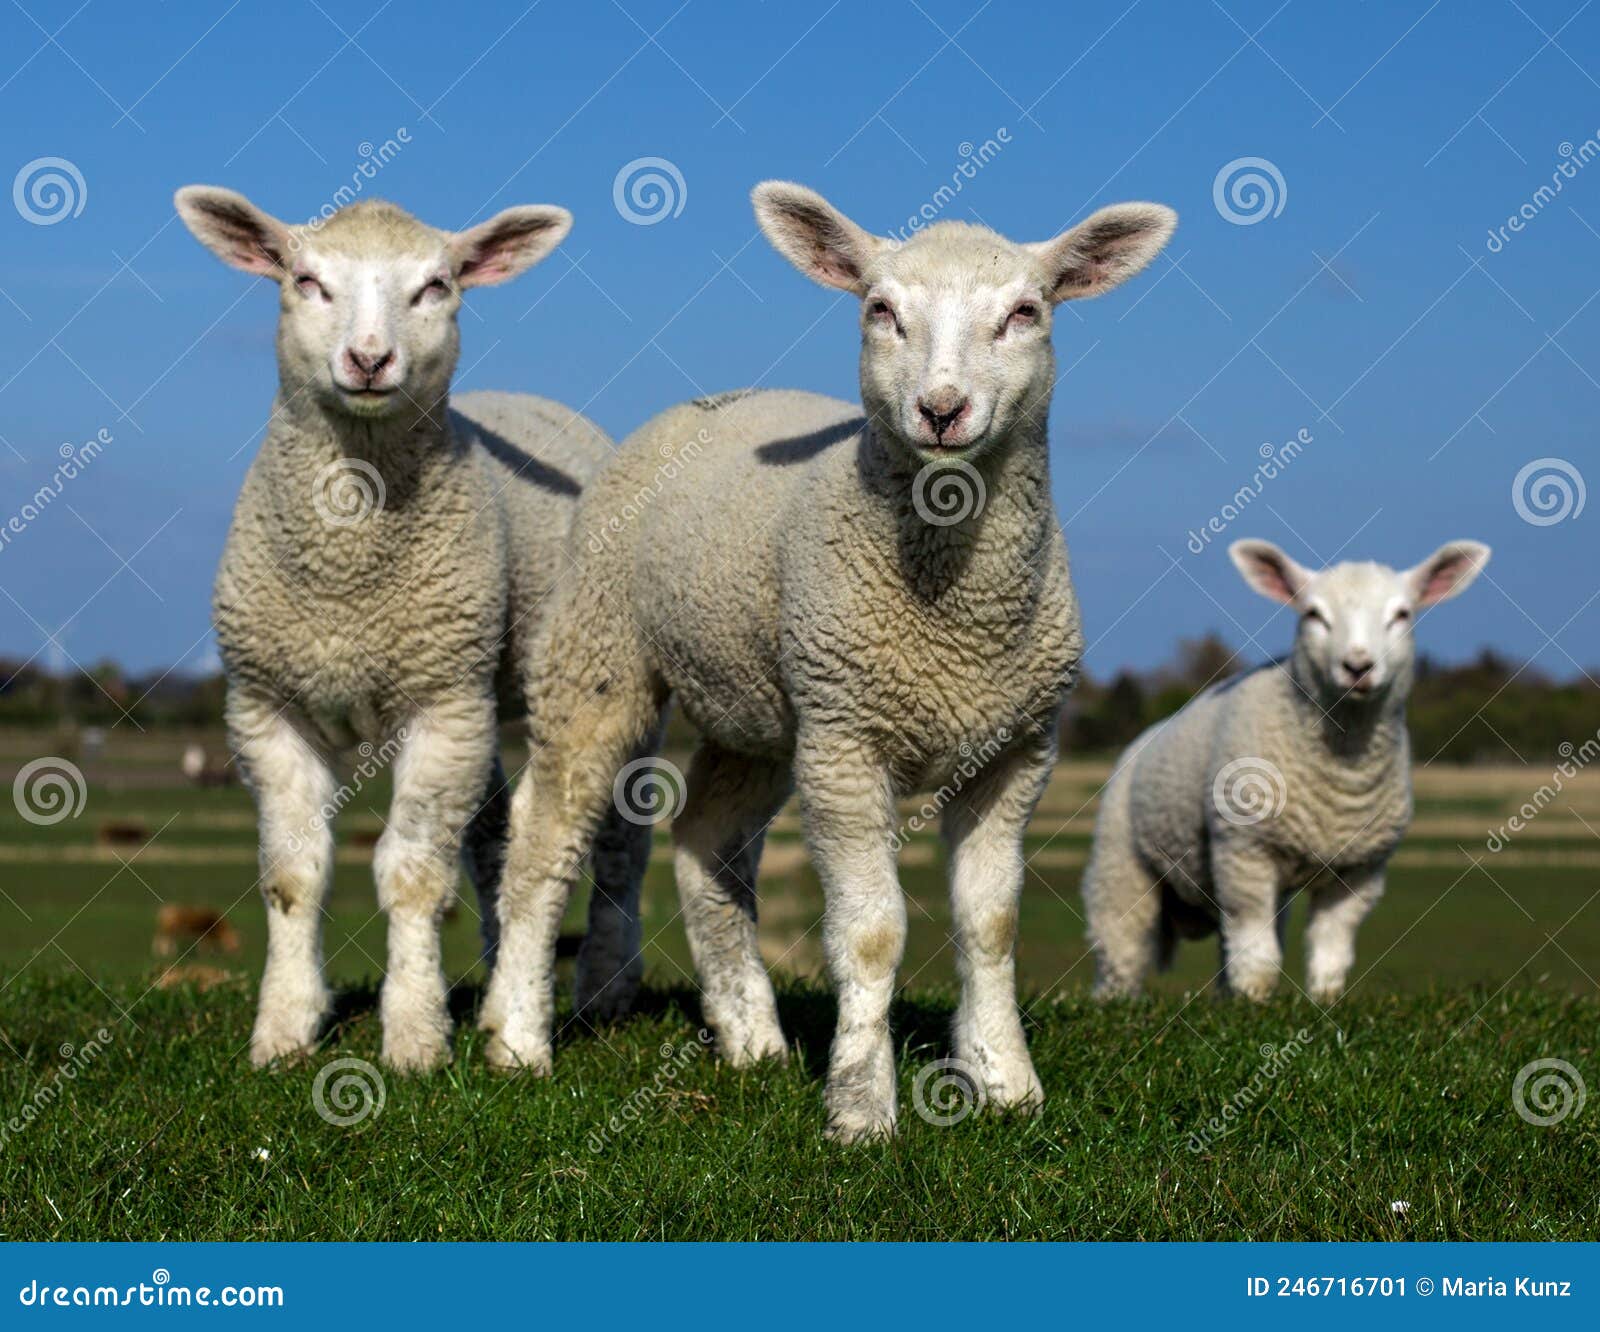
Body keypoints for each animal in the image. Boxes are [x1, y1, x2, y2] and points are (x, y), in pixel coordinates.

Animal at [174, 187, 654, 1072]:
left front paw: (415, 1038)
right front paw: (283, 1030)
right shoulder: (266, 706)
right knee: (496, 840)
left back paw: (605, 984)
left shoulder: (441, 704)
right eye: (306, 281)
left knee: (618, 848)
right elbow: (293, 875)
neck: (347, 578)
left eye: (436, 286)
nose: (369, 359)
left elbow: (413, 875)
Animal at [479, 181, 1177, 1141]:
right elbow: (872, 933)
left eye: (1025, 314)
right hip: (601, 649)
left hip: (763, 707)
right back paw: (516, 1041)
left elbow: (991, 923)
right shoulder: (847, 743)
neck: (954, 613)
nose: (942, 410)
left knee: (705, 838)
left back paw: (750, 1036)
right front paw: (860, 1107)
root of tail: (715, 399)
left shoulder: (1016, 747)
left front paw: (1006, 1084)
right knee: (545, 837)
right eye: (880, 310)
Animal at [1082, 538, 1491, 1003]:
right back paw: (1116, 1001)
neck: (1342, 768)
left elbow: (1331, 944)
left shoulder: (1359, 869)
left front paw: (1323, 999)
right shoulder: (1244, 851)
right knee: (1121, 945)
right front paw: (1254, 1000)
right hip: (1120, 862)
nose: (1358, 666)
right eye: (1313, 614)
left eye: (1402, 615)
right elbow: (1256, 946)